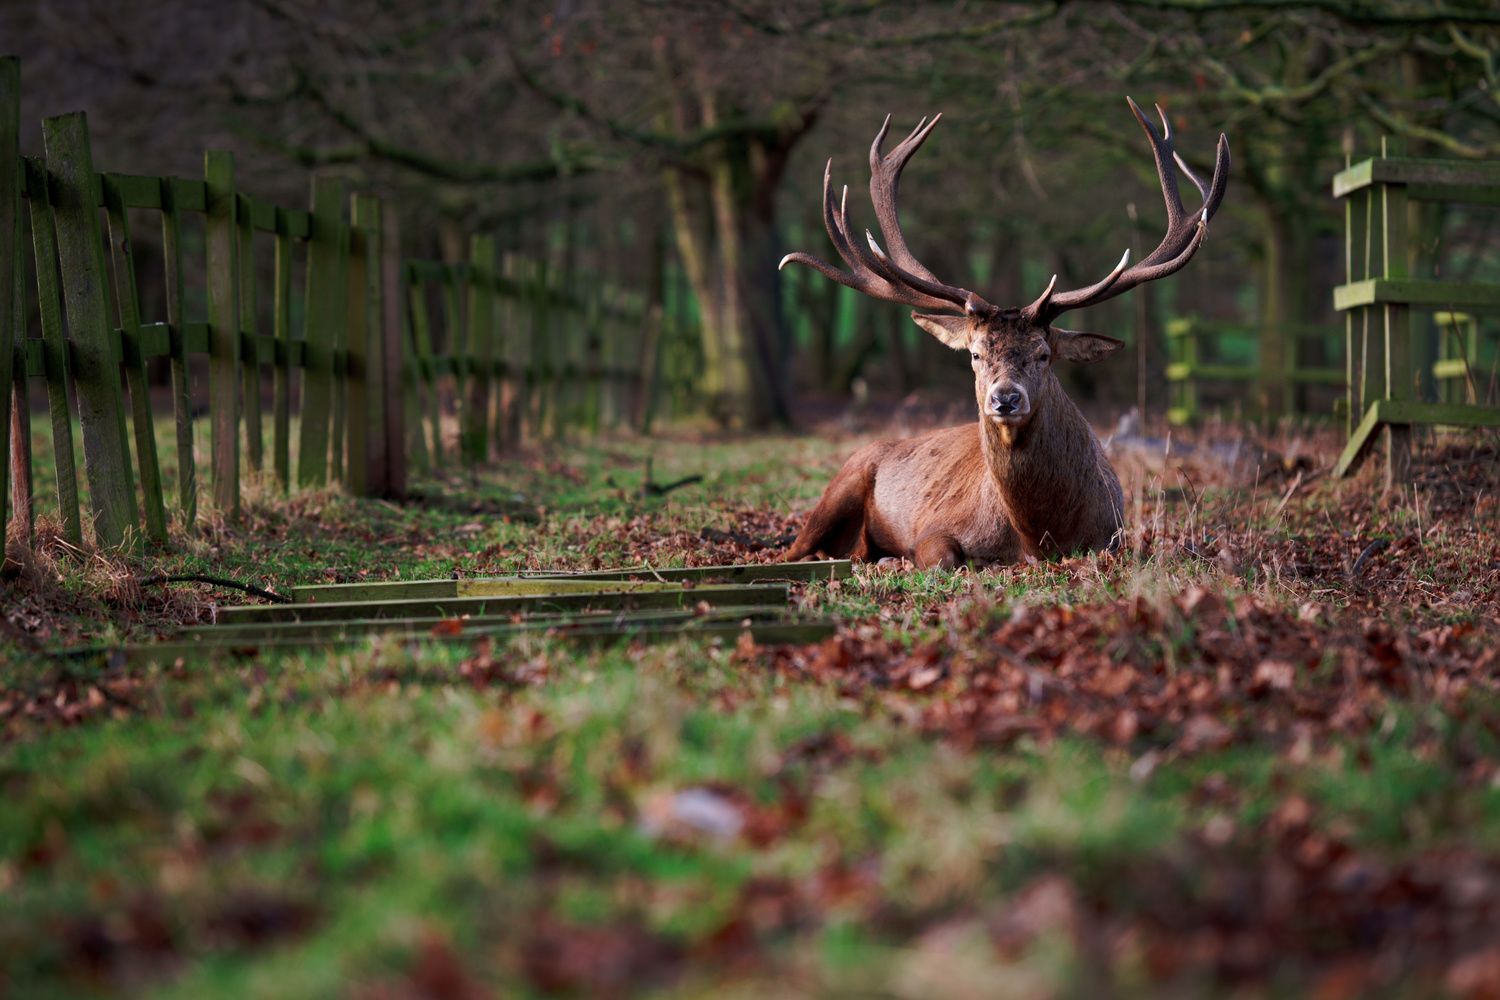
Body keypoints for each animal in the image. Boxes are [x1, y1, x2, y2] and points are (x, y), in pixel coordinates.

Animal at [779, 98, 1229, 570]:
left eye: (1044, 354)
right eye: (974, 354)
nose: (1006, 399)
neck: (1037, 537)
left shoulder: (1112, 536)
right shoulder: (934, 529)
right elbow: (943, 557)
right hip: (840, 484)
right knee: (796, 547)